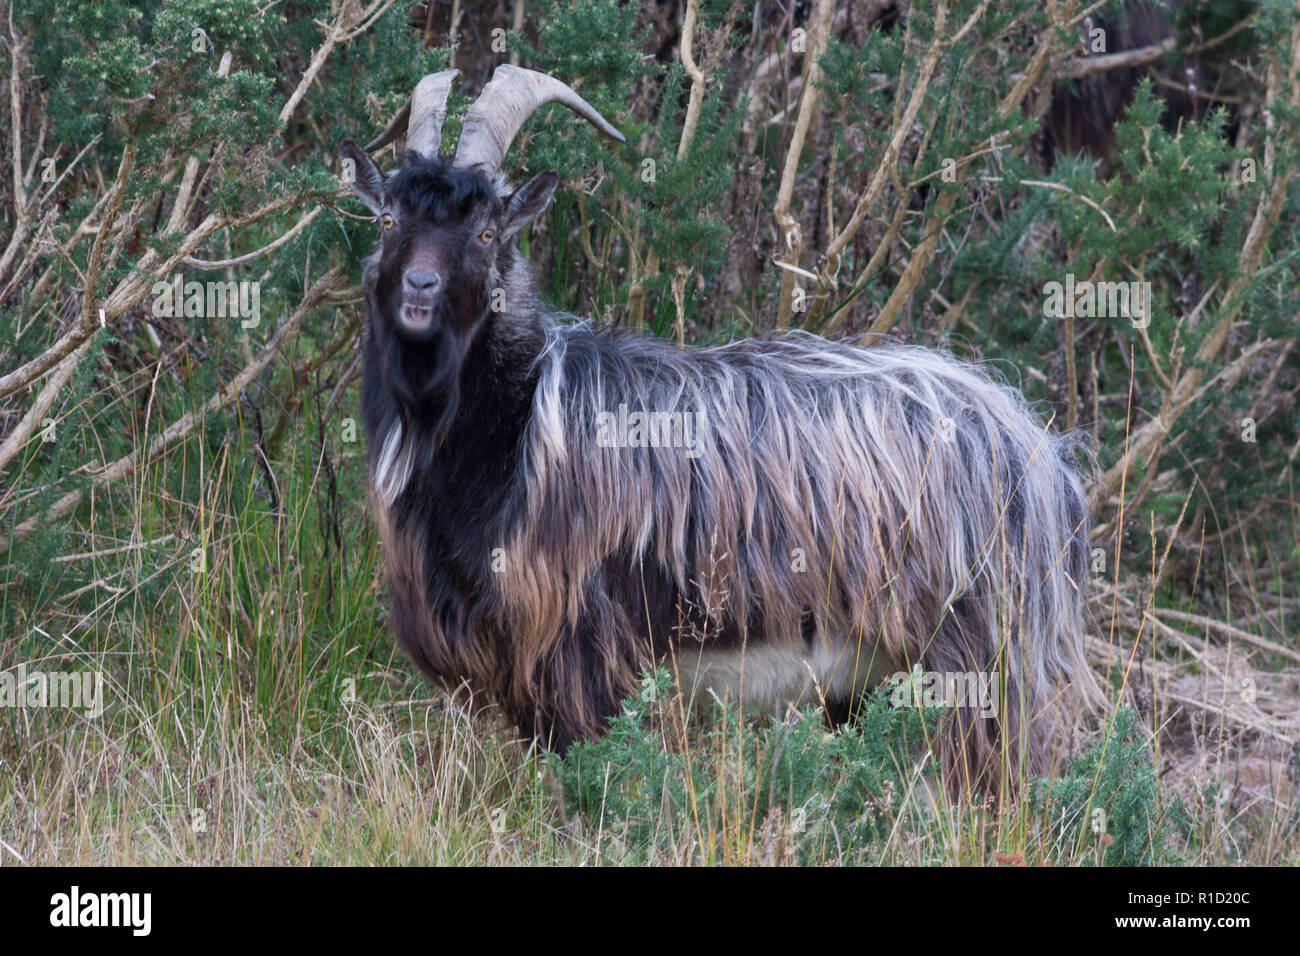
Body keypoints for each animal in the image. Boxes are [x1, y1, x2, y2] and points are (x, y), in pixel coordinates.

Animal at [339, 66, 1097, 796]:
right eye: (387, 218)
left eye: (488, 232)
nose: (419, 289)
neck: (520, 425)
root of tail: (1036, 451)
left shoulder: (581, 656)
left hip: (970, 662)